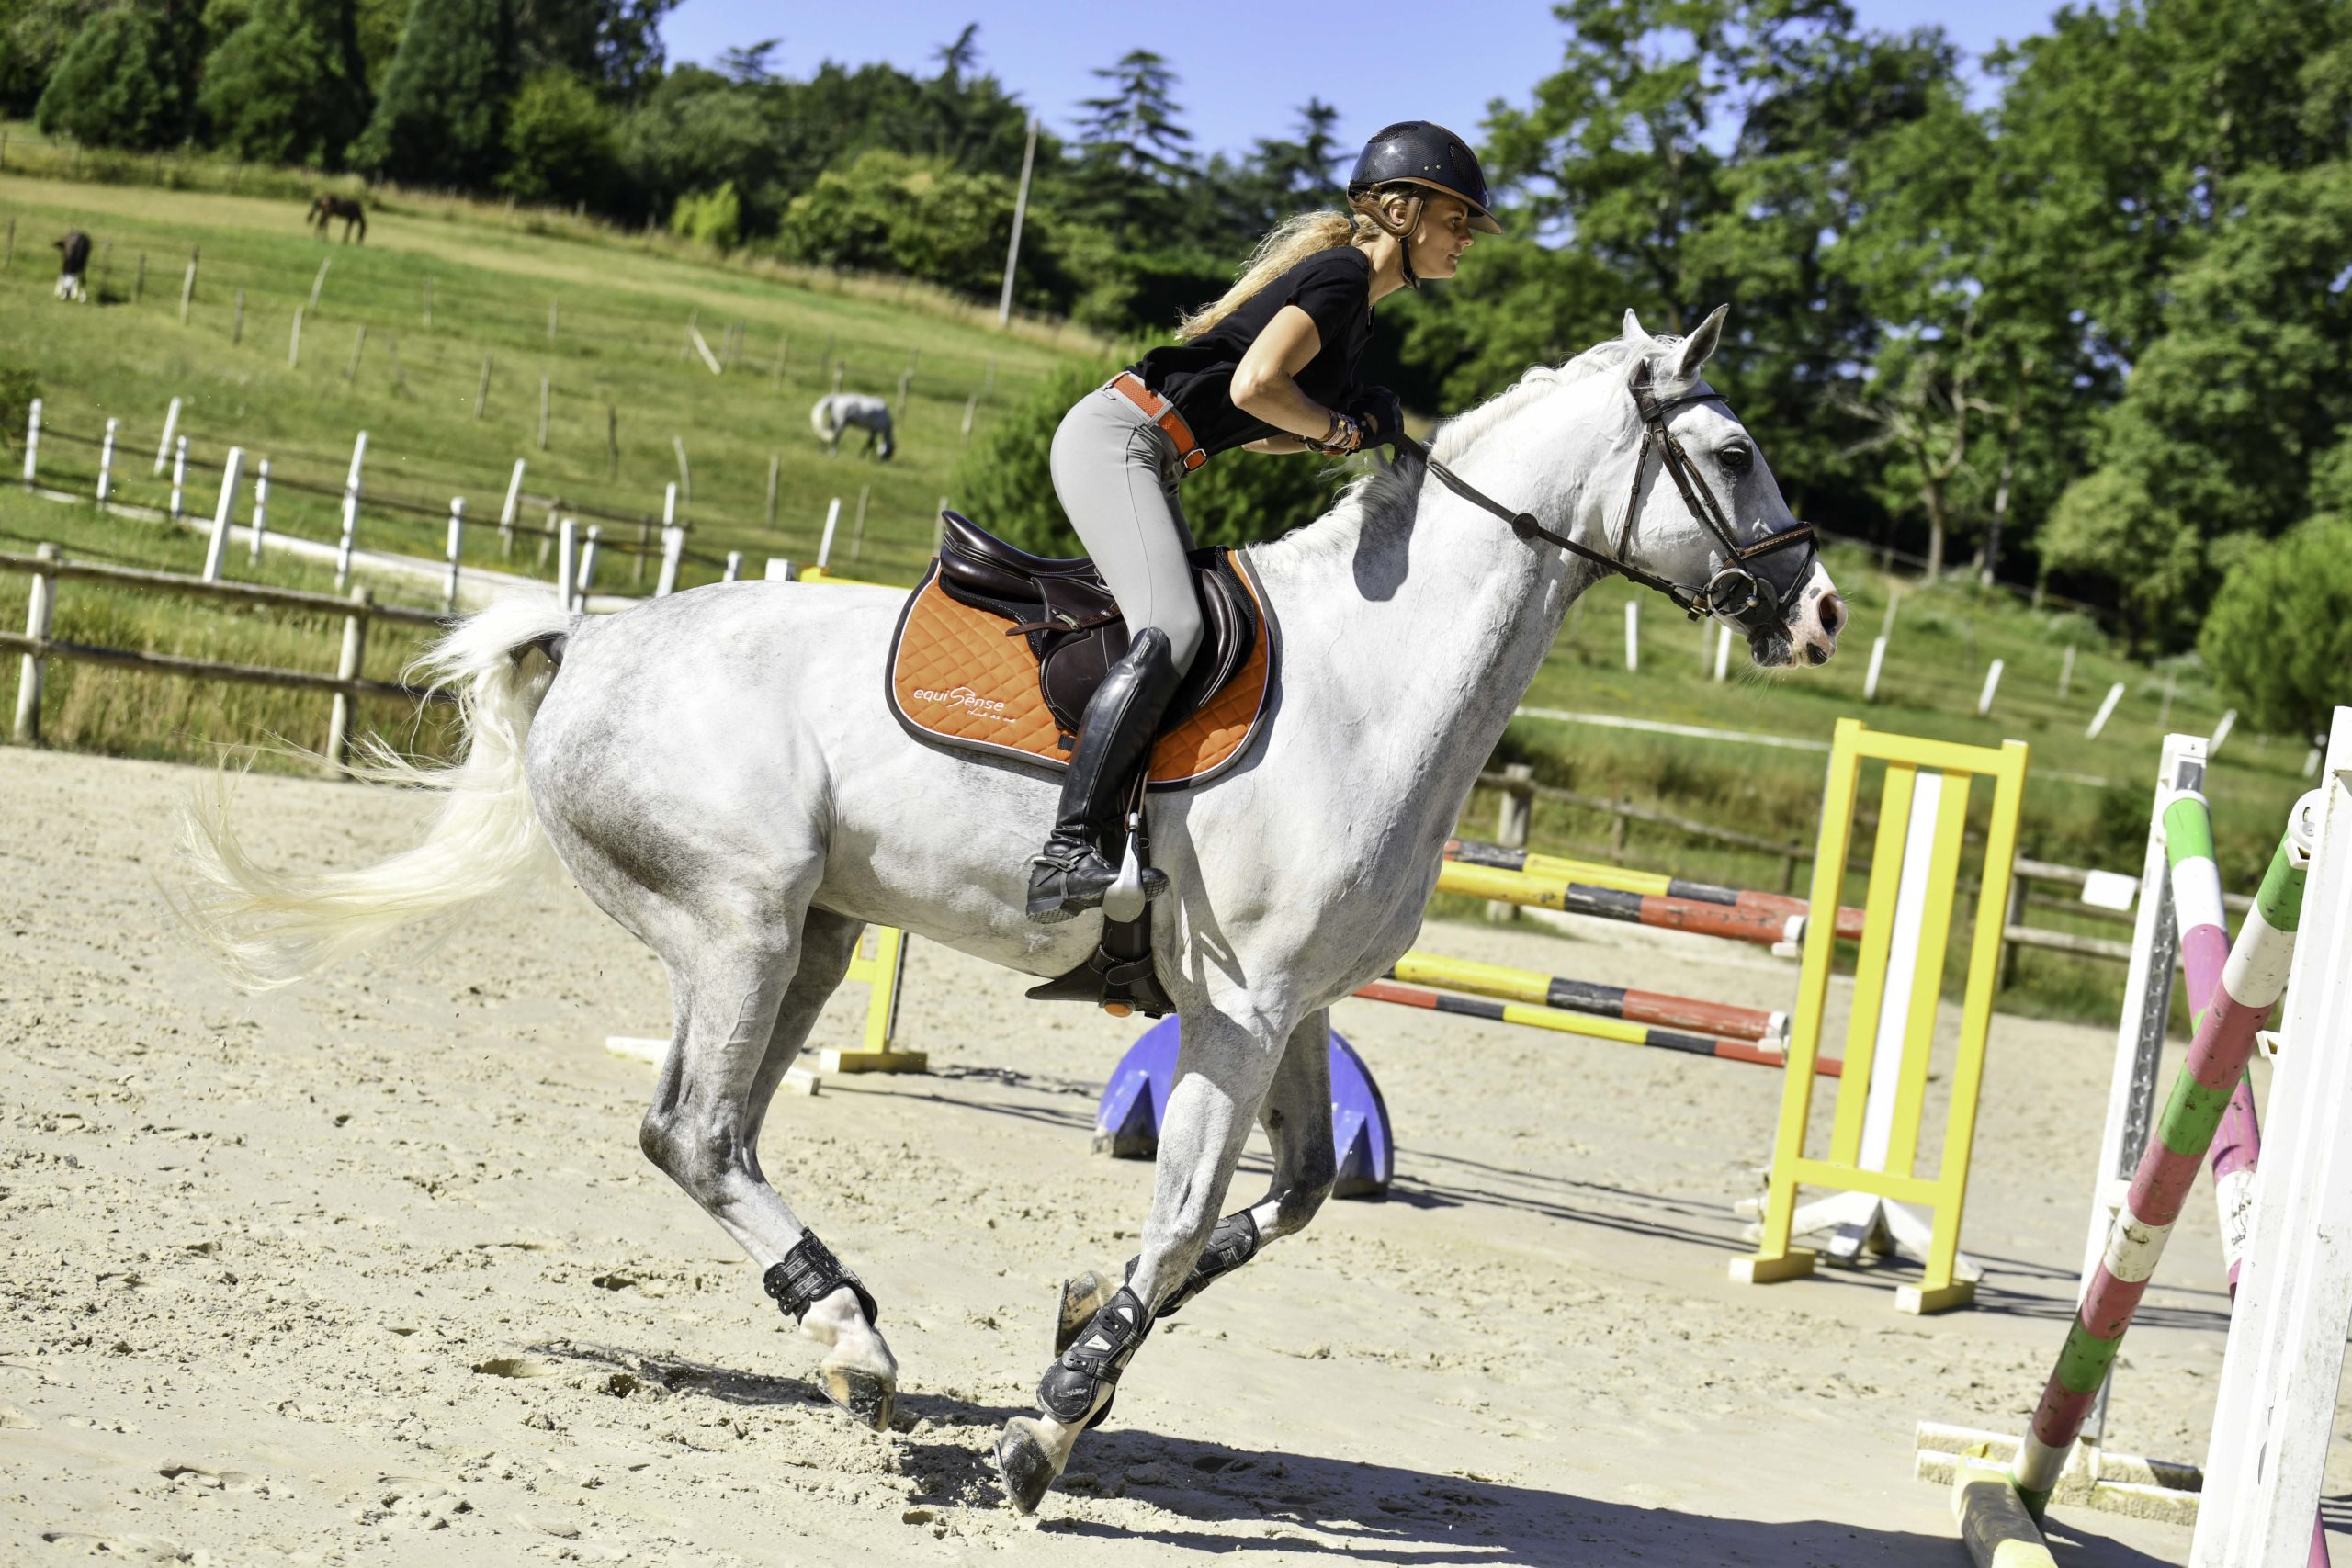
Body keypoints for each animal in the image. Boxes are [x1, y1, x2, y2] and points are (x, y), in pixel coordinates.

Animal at [176, 308, 1843, 1518]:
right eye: (1738, 451)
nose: (1818, 614)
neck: (1380, 680)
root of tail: (591, 635)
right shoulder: (1239, 1006)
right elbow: (1183, 1220)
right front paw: (1040, 1435)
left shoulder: (1297, 1008)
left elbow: (1287, 1200)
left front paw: (1079, 1327)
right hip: (741, 918)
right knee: (693, 1130)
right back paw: (854, 1345)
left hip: (817, 935)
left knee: (724, 1132)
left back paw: (843, 1338)